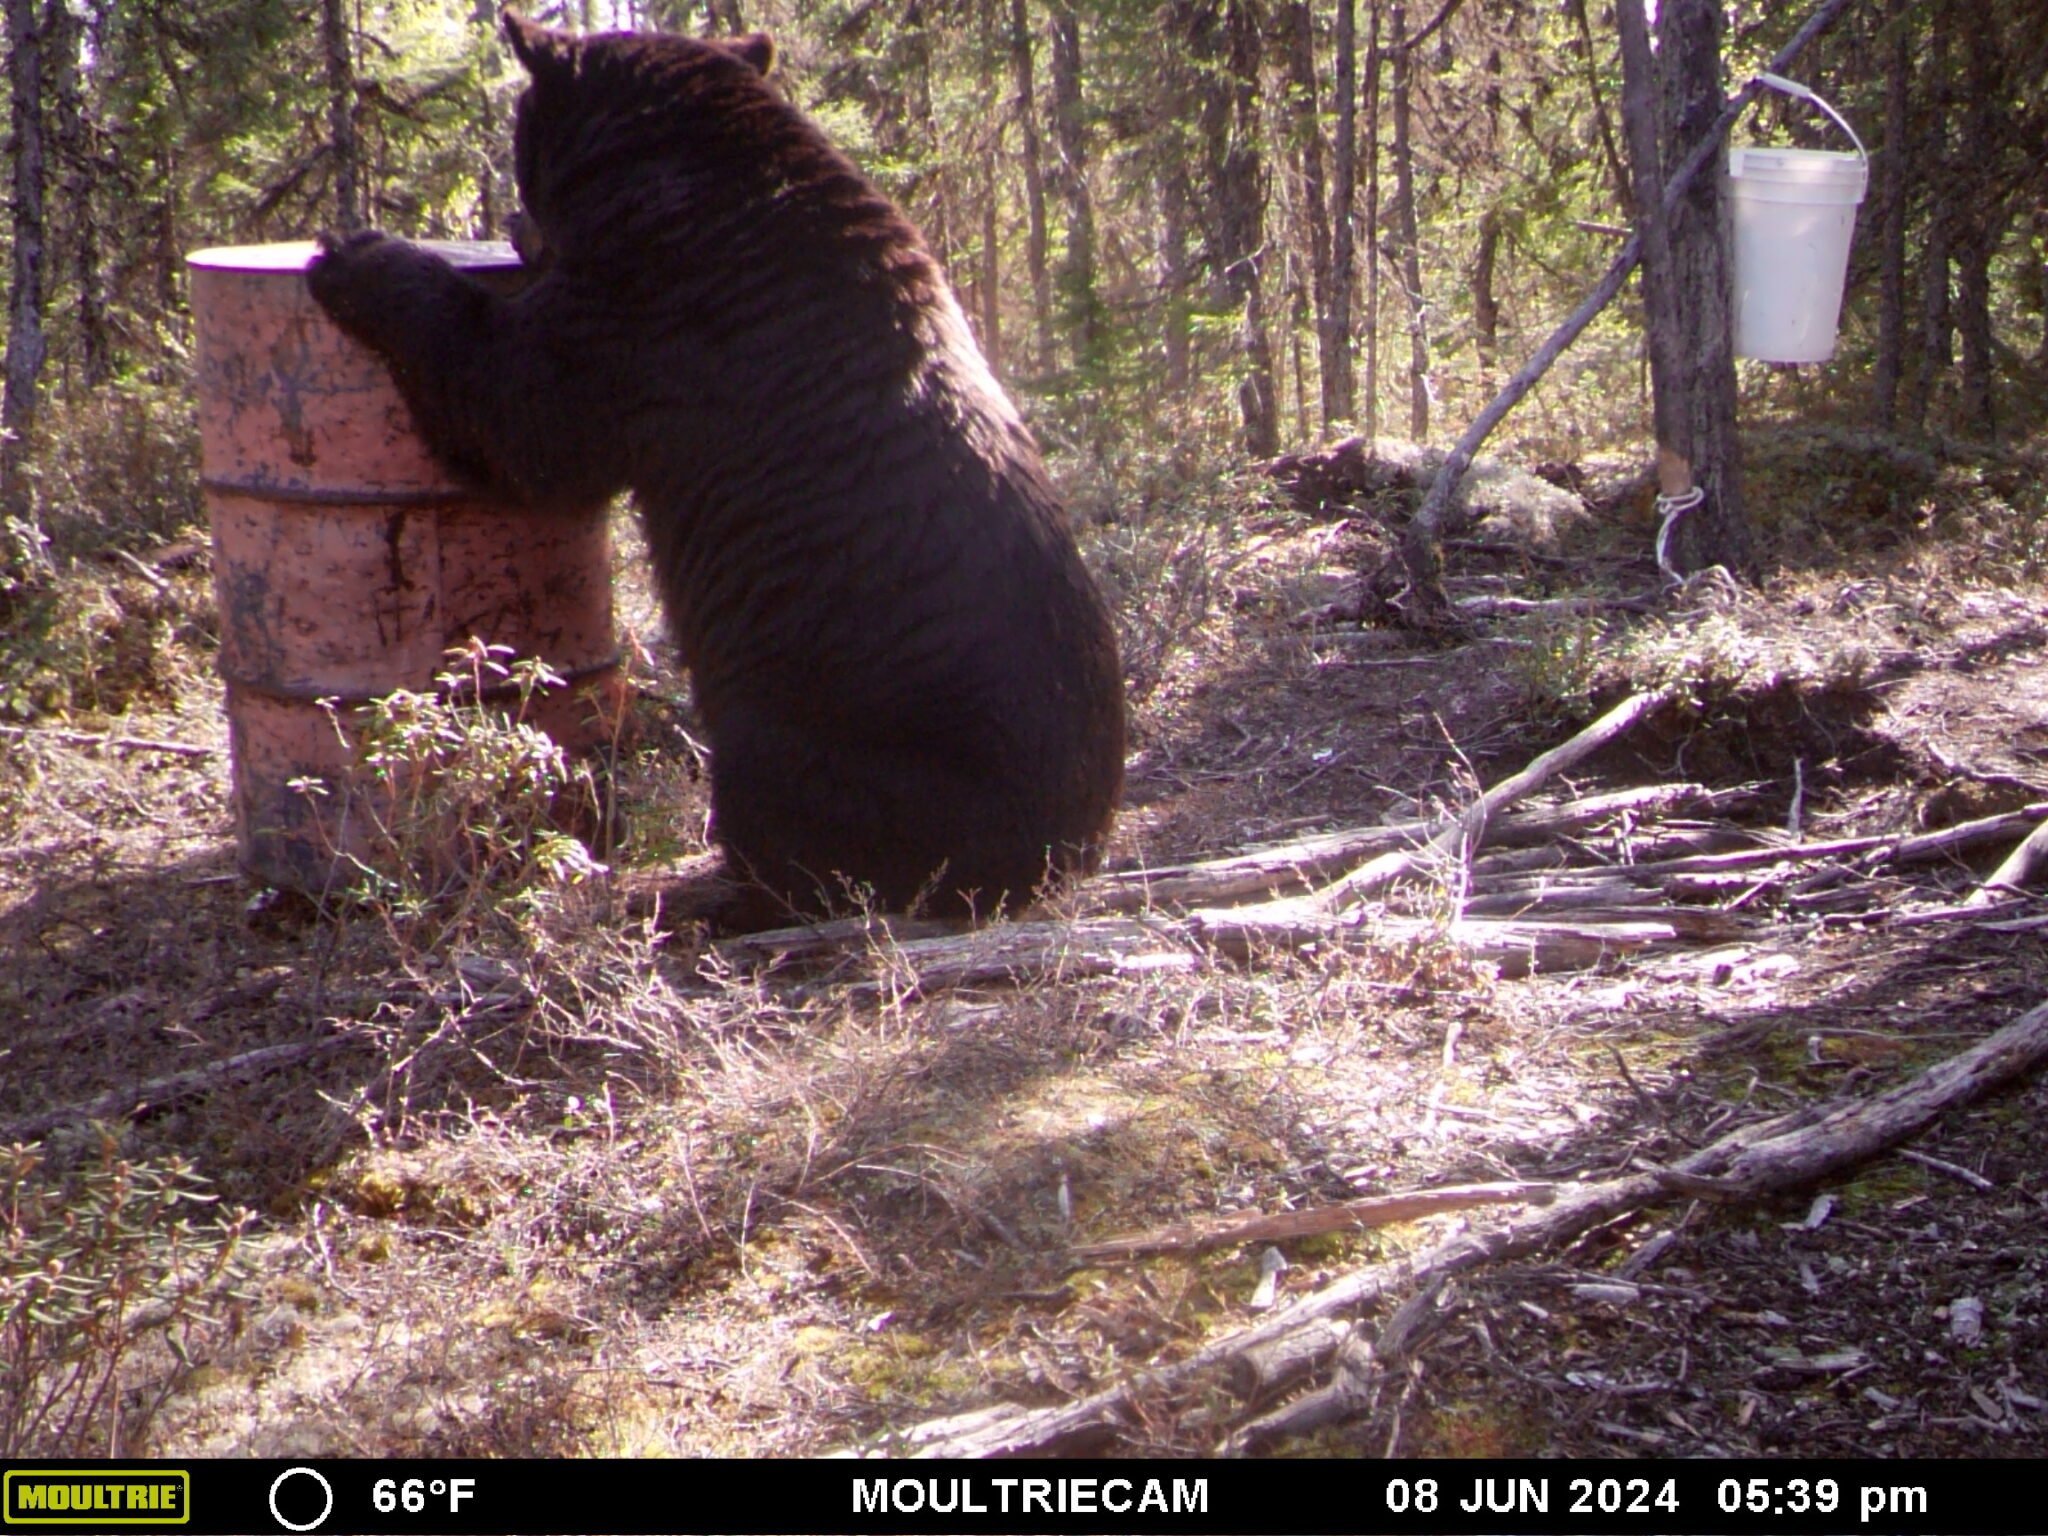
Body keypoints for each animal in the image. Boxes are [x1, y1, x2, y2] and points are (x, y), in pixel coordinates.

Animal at [306, 9, 1124, 923]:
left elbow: (521, 420)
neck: (678, 173)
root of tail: (1067, 855)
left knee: (785, 806)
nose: (515, 223)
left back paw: (707, 894)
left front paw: (358, 255)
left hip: (835, 728)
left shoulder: (652, 318)